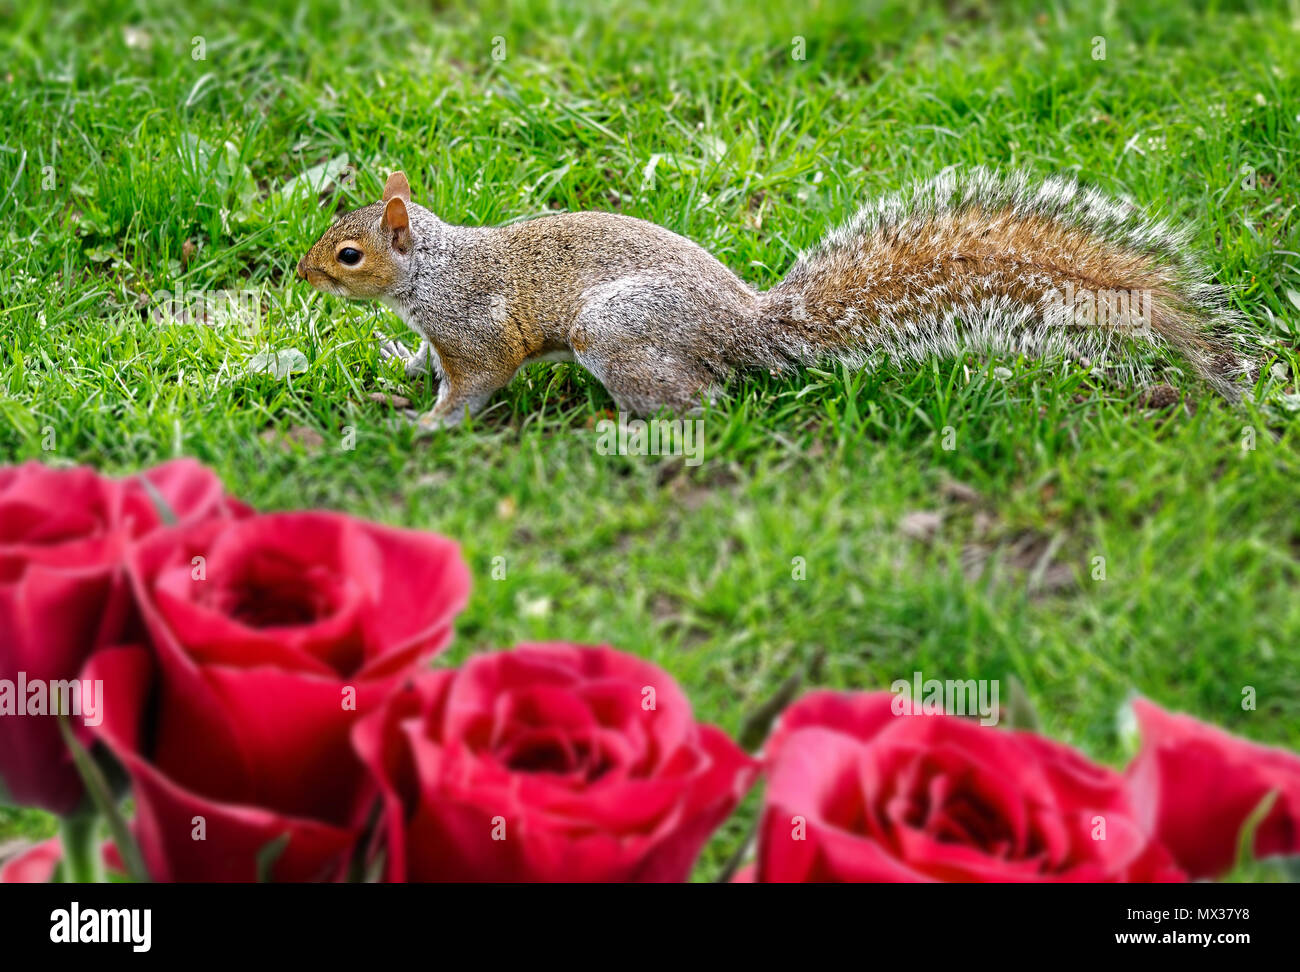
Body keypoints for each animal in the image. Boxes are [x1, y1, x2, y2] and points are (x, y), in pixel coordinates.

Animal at [297, 168, 1250, 428]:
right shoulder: (441, 332)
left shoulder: (479, 332)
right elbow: (425, 360)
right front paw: (395, 367)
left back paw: (621, 432)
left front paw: (424, 427)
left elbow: (476, 383)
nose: (302, 274)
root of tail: (748, 328)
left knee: (702, 403)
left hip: (617, 332)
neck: (431, 271)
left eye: (348, 253)